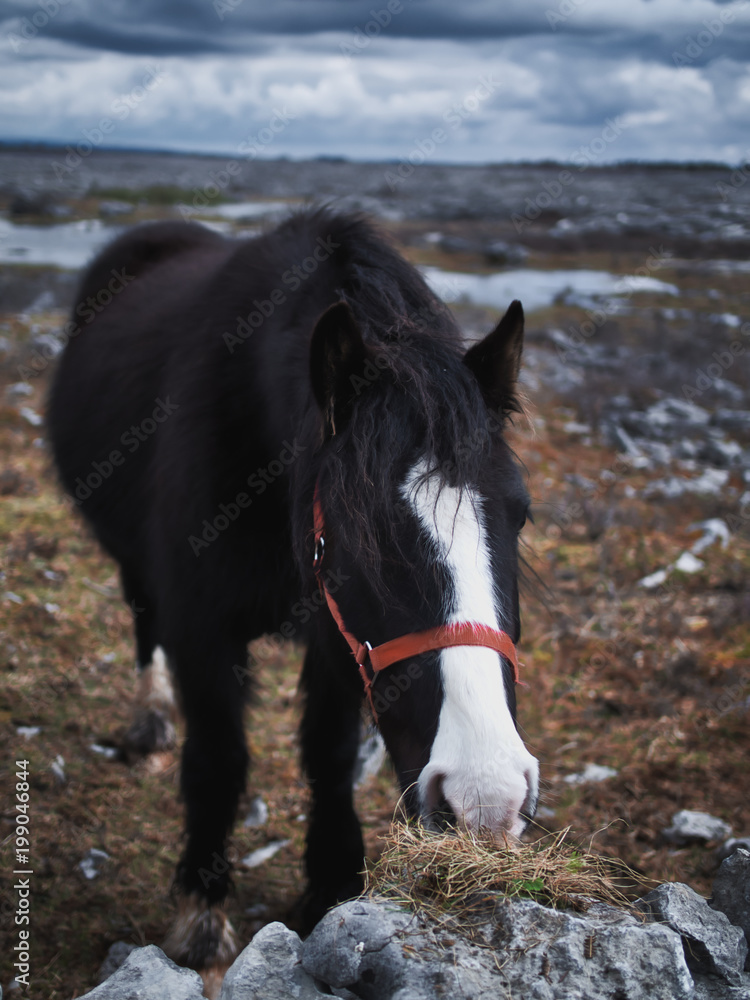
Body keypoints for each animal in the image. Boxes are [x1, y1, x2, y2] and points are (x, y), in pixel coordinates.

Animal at [47, 206, 539, 976]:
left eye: (520, 513)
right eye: (358, 531)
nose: (484, 797)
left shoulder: (336, 638)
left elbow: (329, 753)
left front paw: (332, 886)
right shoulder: (203, 630)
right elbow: (220, 757)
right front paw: (201, 916)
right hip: (132, 559)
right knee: (142, 619)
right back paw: (150, 718)